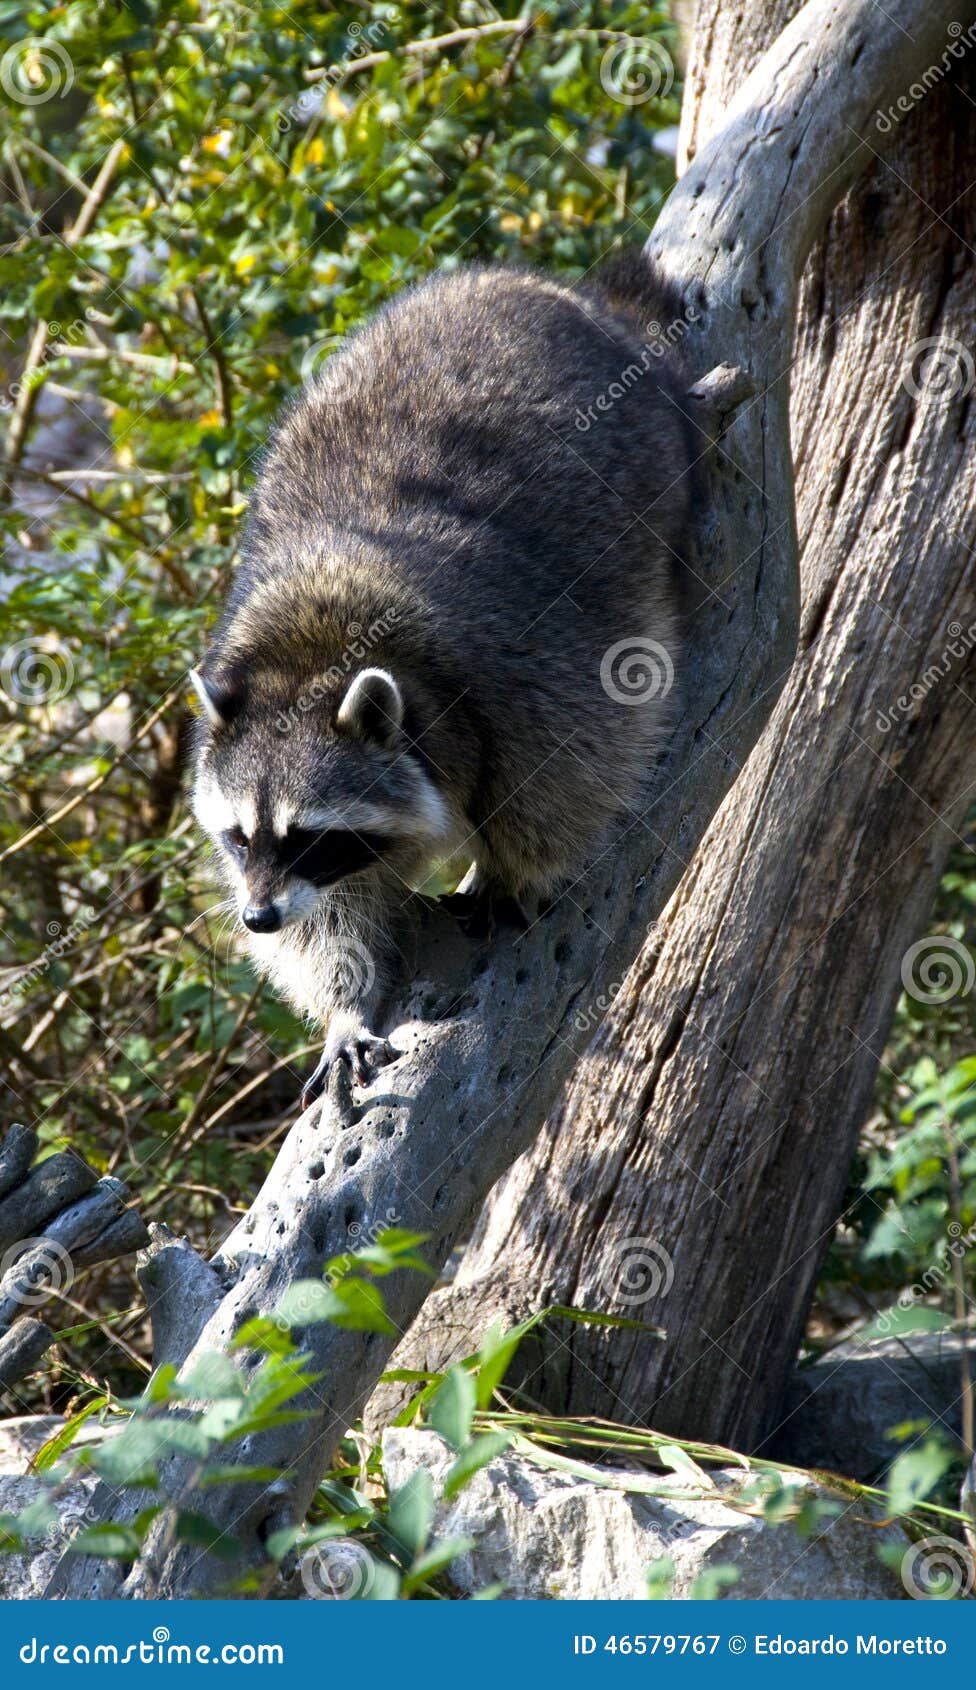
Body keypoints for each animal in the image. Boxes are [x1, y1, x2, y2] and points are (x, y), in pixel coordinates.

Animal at [190, 254, 695, 1107]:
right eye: (239, 836)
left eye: (307, 837)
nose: (258, 919)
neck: (310, 650)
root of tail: (513, 282)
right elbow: (331, 923)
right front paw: (345, 1002)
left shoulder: (524, 672)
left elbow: (573, 778)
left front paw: (512, 870)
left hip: (645, 446)